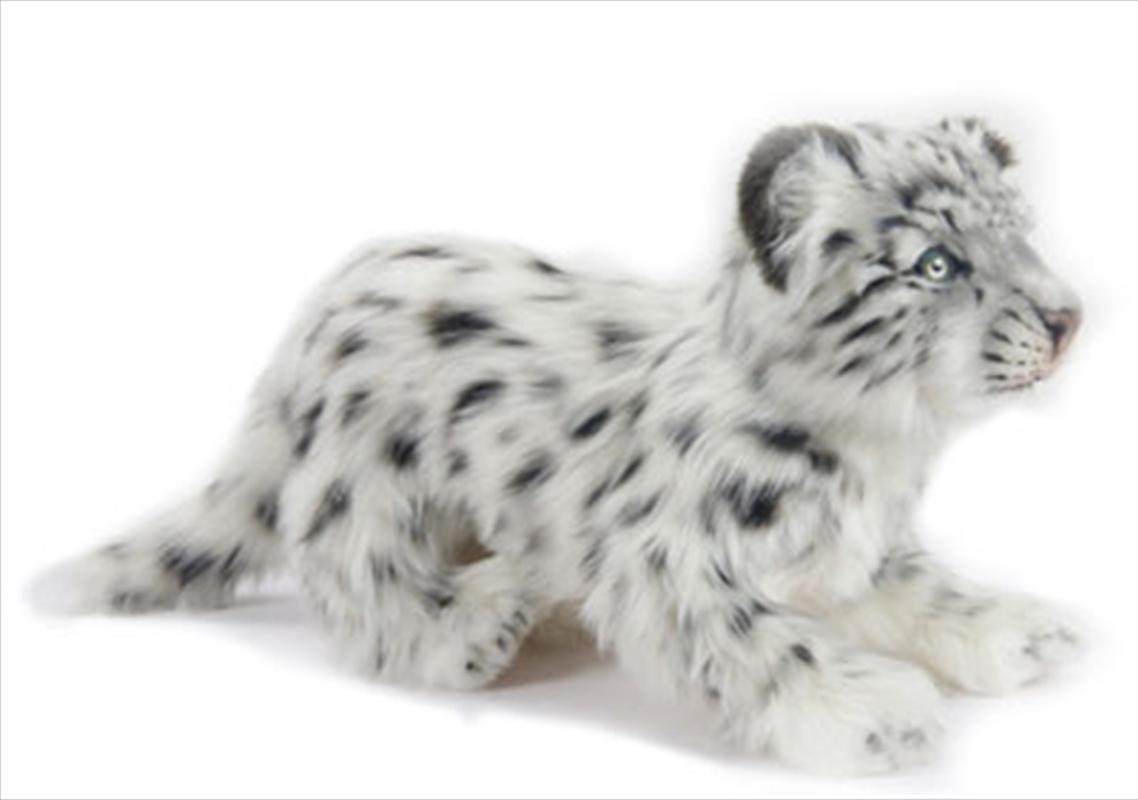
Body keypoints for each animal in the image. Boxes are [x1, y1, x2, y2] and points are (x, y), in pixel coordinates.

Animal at [35, 117, 1082, 775]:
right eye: (935, 265)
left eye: (1024, 236)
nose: (1069, 318)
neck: (874, 447)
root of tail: (305, 333)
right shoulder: (665, 556)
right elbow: (758, 636)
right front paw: (876, 712)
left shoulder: (854, 544)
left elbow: (918, 585)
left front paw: (1017, 628)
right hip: (363, 485)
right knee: (358, 578)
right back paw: (475, 623)